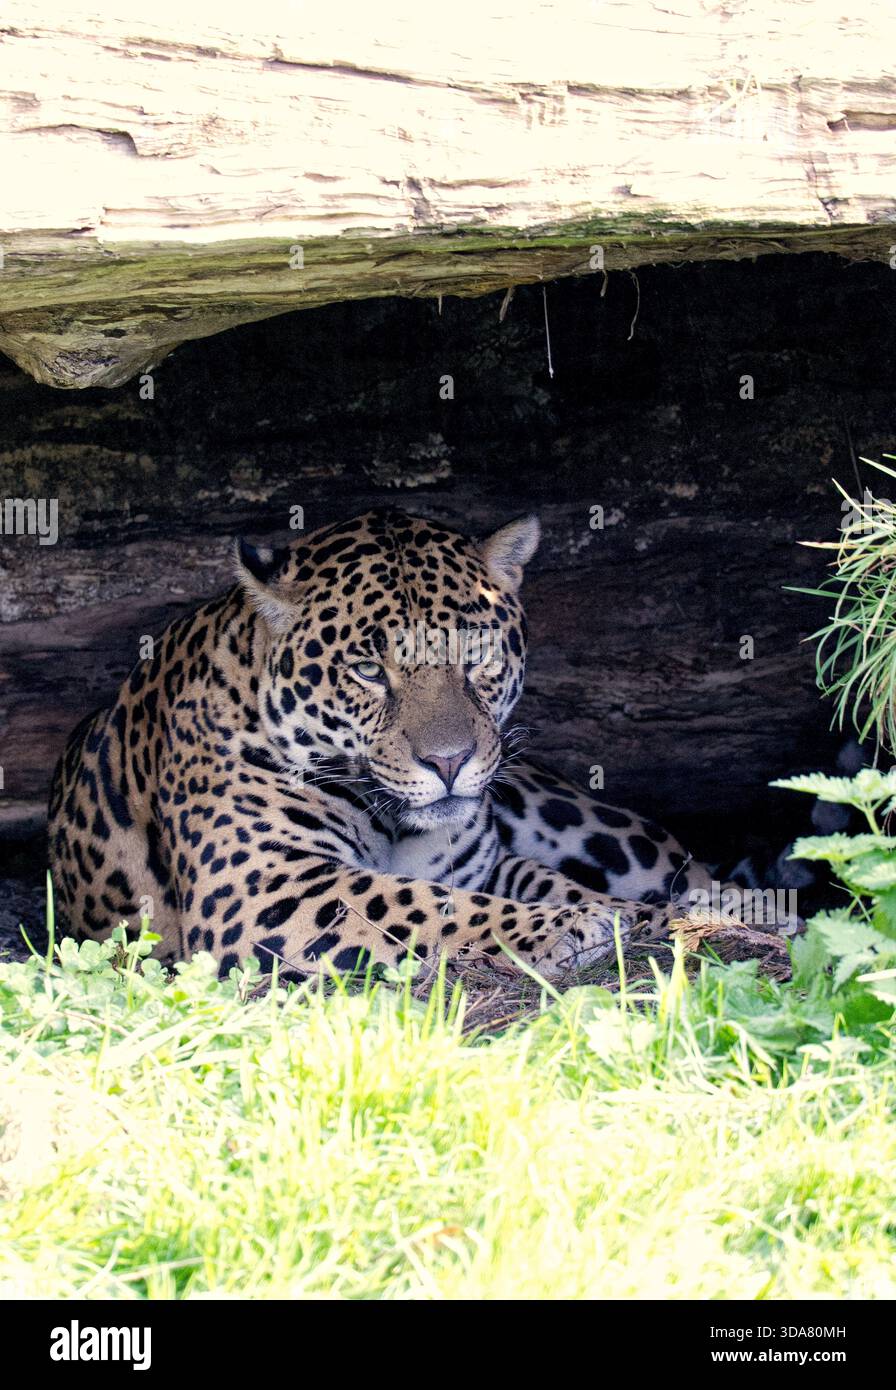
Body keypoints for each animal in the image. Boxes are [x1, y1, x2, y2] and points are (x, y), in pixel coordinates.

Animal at [48, 508, 740, 983]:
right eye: (367, 670)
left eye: (477, 655)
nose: (450, 762)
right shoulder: (263, 890)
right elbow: (426, 905)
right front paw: (568, 929)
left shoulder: (486, 865)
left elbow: (544, 883)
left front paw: (633, 917)